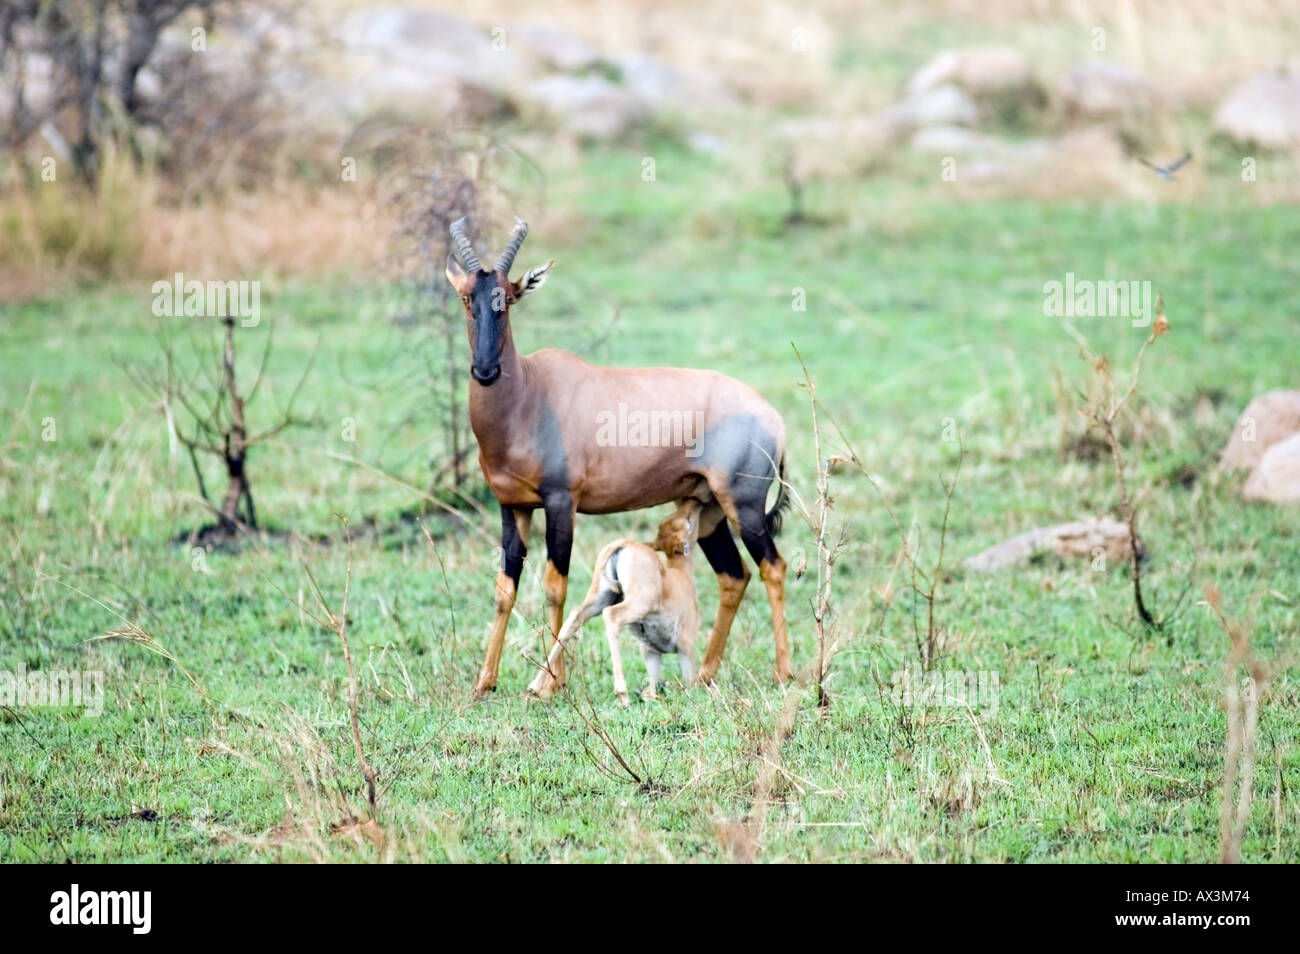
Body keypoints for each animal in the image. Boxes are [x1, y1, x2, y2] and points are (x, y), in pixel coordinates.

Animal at [527, 498, 703, 705]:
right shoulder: (686, 648)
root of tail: (622, 544)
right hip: (636, 605)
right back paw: (622, 695)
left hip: (600, 598)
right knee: (611, 616)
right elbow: (689, 684)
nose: (696, 502)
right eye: (687, 522)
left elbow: (652, 687)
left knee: (574, 618)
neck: (681, 578)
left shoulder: (651, 652)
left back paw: (534, 688)